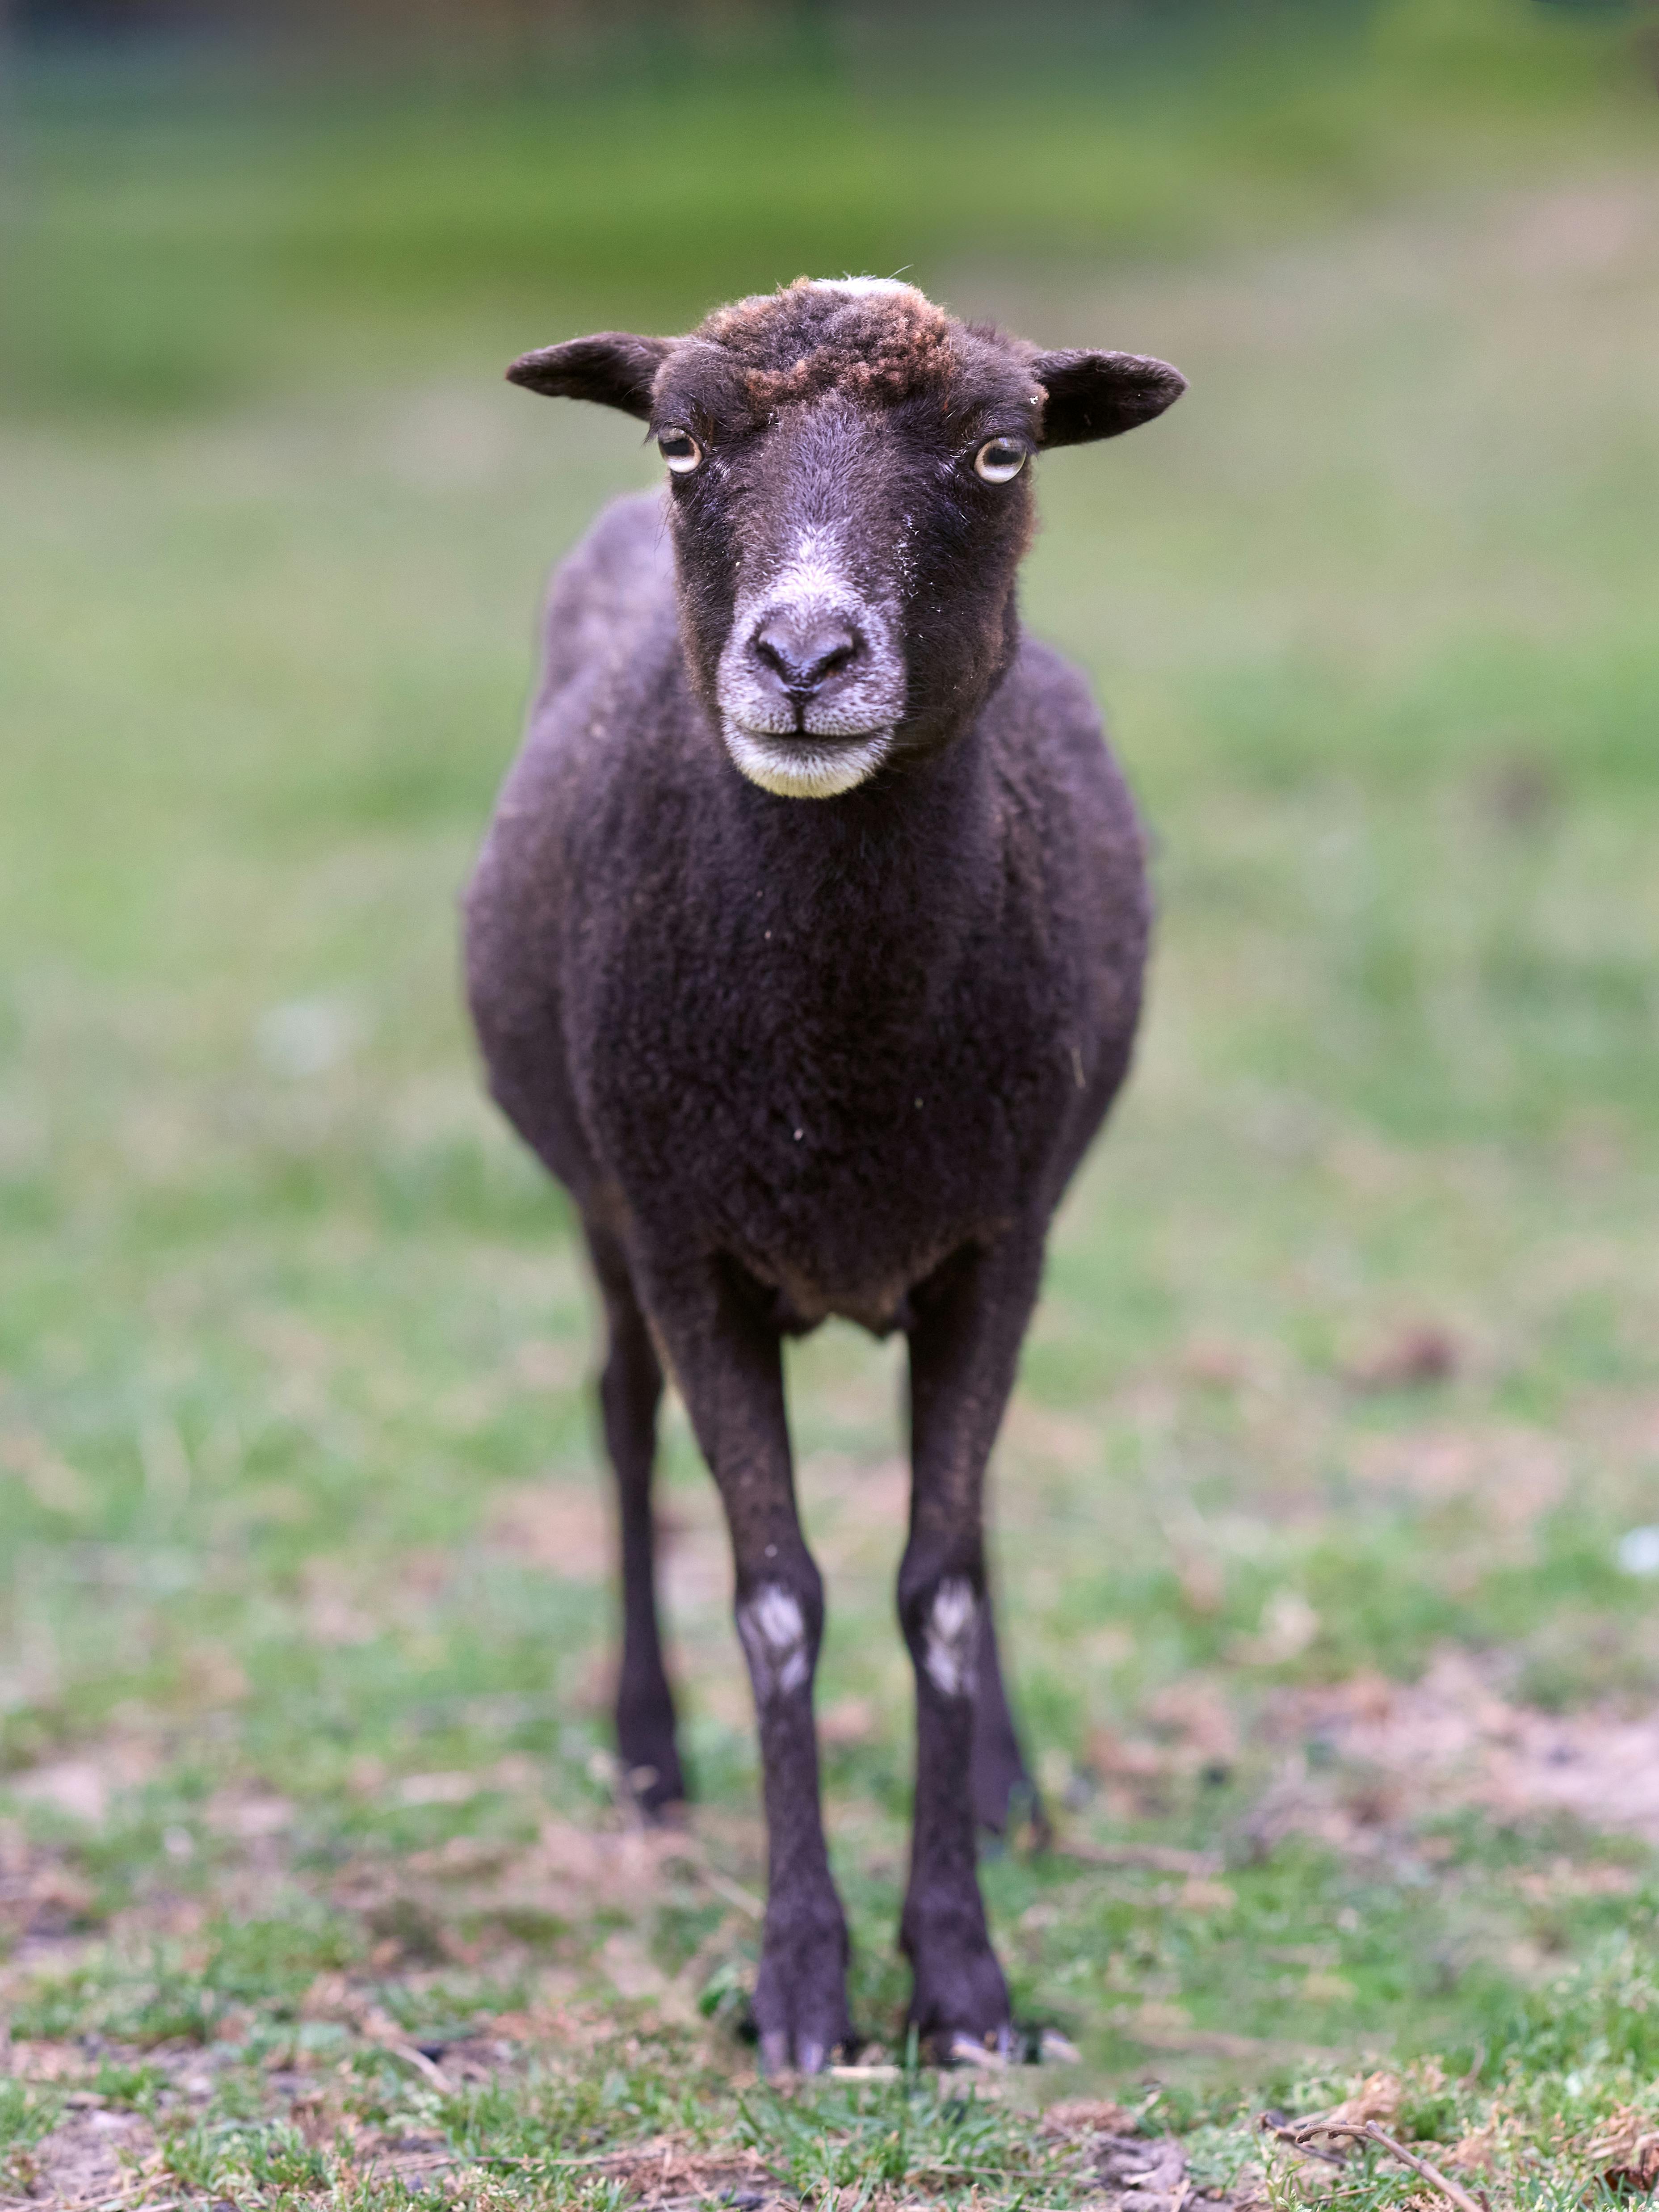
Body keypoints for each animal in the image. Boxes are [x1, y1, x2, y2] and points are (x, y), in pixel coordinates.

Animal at [464, 277, 1184, 2072]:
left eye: (998, 452)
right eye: (679, 441)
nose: (801, 658)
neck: (836, 1072)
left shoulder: (997, 1239)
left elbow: (935, 1592)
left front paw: (962, 1979)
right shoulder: (688, 1241)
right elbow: (778, 1601)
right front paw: (798, 1988)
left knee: (966, 1522)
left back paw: (1005, 1786)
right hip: (604, 1214)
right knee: (620, 1425)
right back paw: (648, 1761)